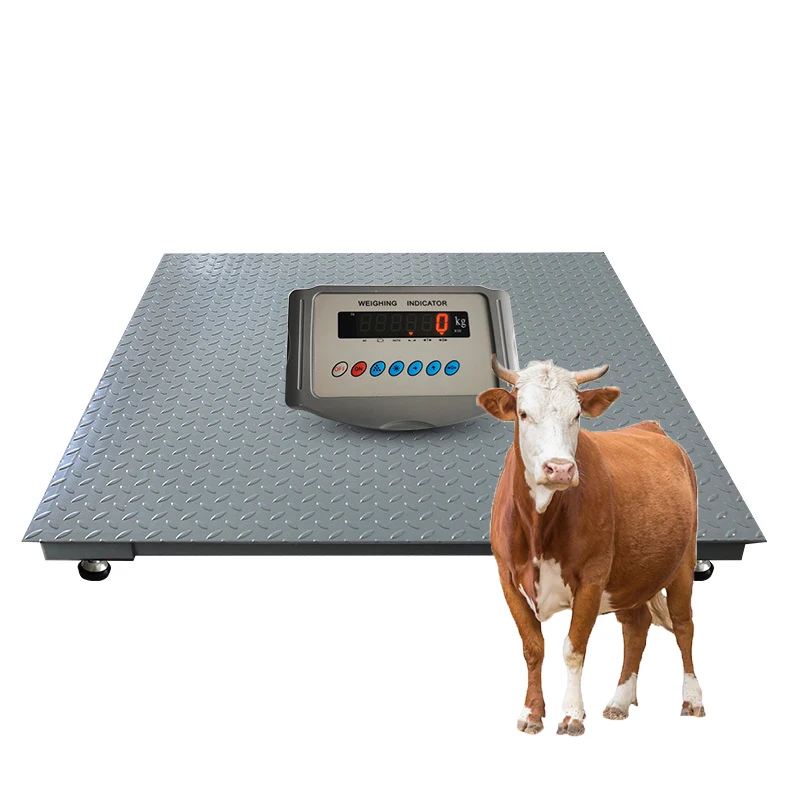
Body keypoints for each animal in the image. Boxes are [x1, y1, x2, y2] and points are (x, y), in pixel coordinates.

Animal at [477, 355, 704, 736]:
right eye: (523, 413)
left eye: (577, 415)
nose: (559, 469)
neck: (539, 528)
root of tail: (651, 426)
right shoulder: (507, 577)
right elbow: (533, 647)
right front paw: (532, 712)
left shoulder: (592, 578)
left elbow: (573, 647)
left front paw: (571, 714)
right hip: (634, 573)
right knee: (636, 626)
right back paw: (620, 701)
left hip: (684, 562)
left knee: (684, 625)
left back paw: (692, 699)